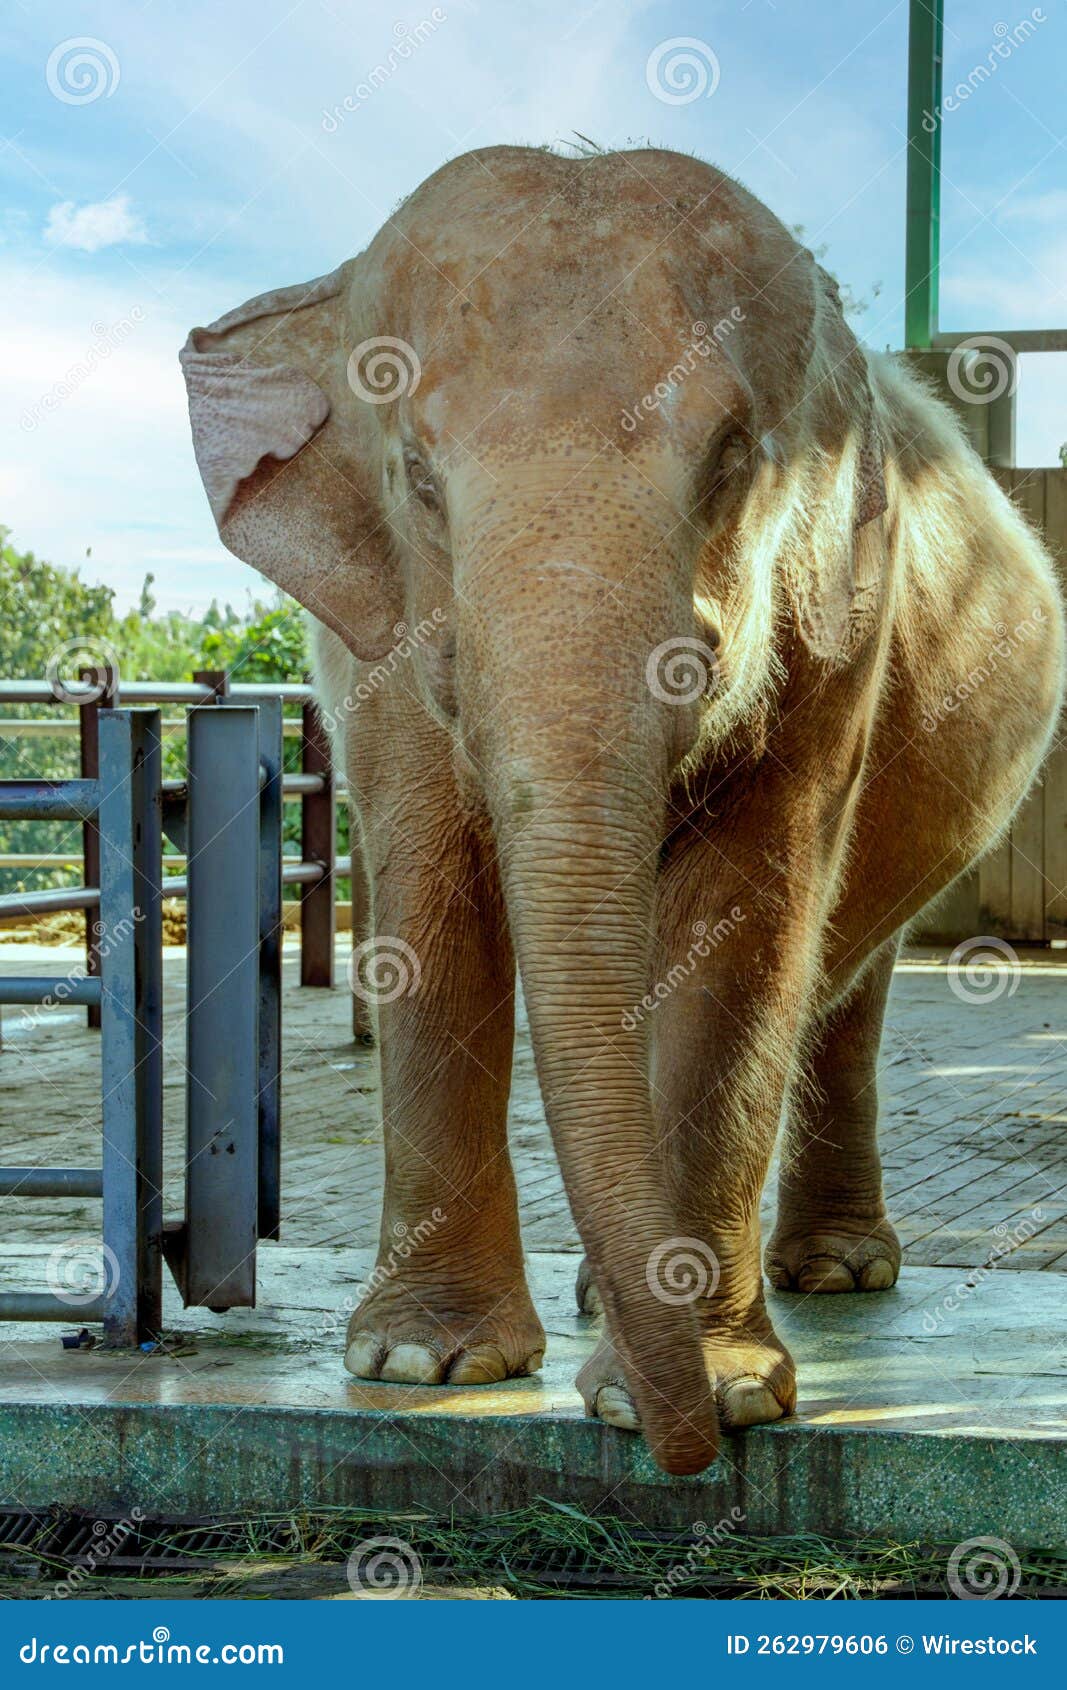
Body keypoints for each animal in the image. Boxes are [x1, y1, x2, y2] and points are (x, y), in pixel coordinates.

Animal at [181, 145, 1064, 1476]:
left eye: (733, 456)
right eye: (417, 478)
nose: (681, 1457)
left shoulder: (835, 638)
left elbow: (744, 928)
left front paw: (723, 1392)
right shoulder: (370, 641)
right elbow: (430, 898)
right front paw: (424, 1365)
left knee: (847, 982)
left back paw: (831, 1274)